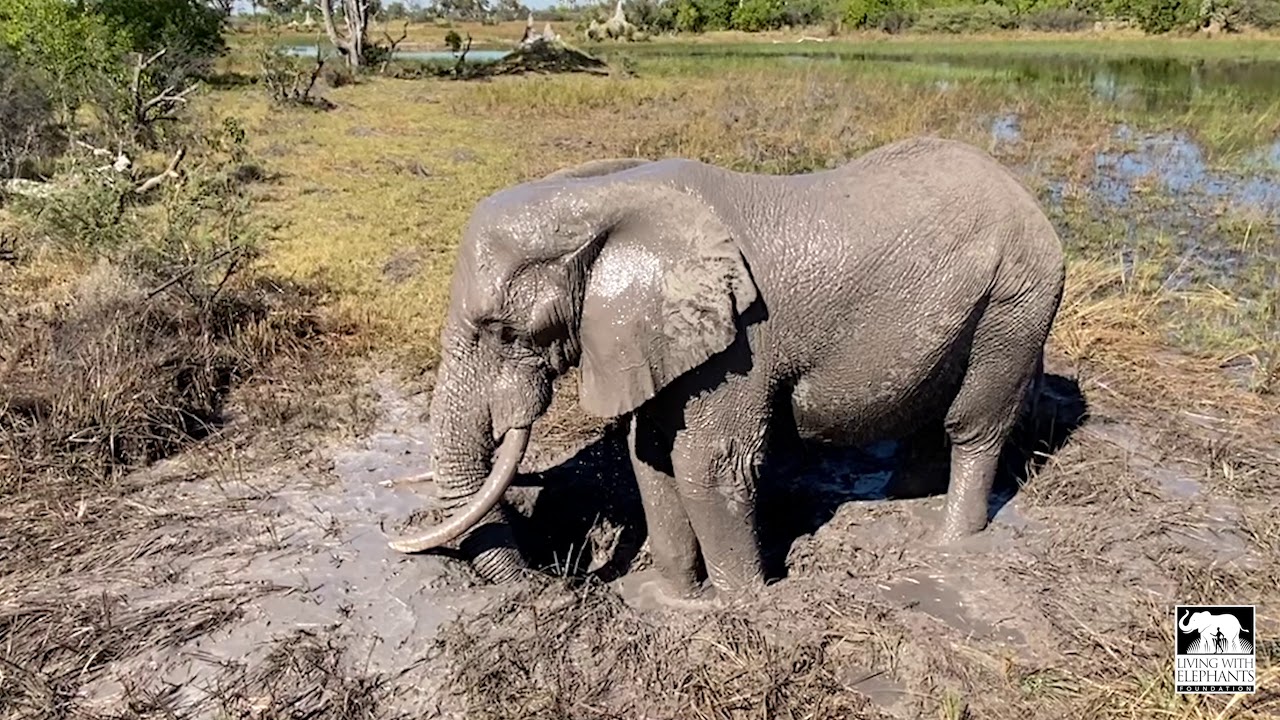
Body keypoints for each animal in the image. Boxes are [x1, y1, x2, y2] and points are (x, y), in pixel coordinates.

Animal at [386, 136, 1066, 607]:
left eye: (503, 331)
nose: (558, 584)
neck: (606, 197)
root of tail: (1022, 191)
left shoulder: (742, 339)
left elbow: (709, 464)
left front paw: (744, 605)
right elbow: (650, 457)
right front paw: (672, 602)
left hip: (1016, 298)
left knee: (974, 422)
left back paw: (948, 543)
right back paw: (907, 507)